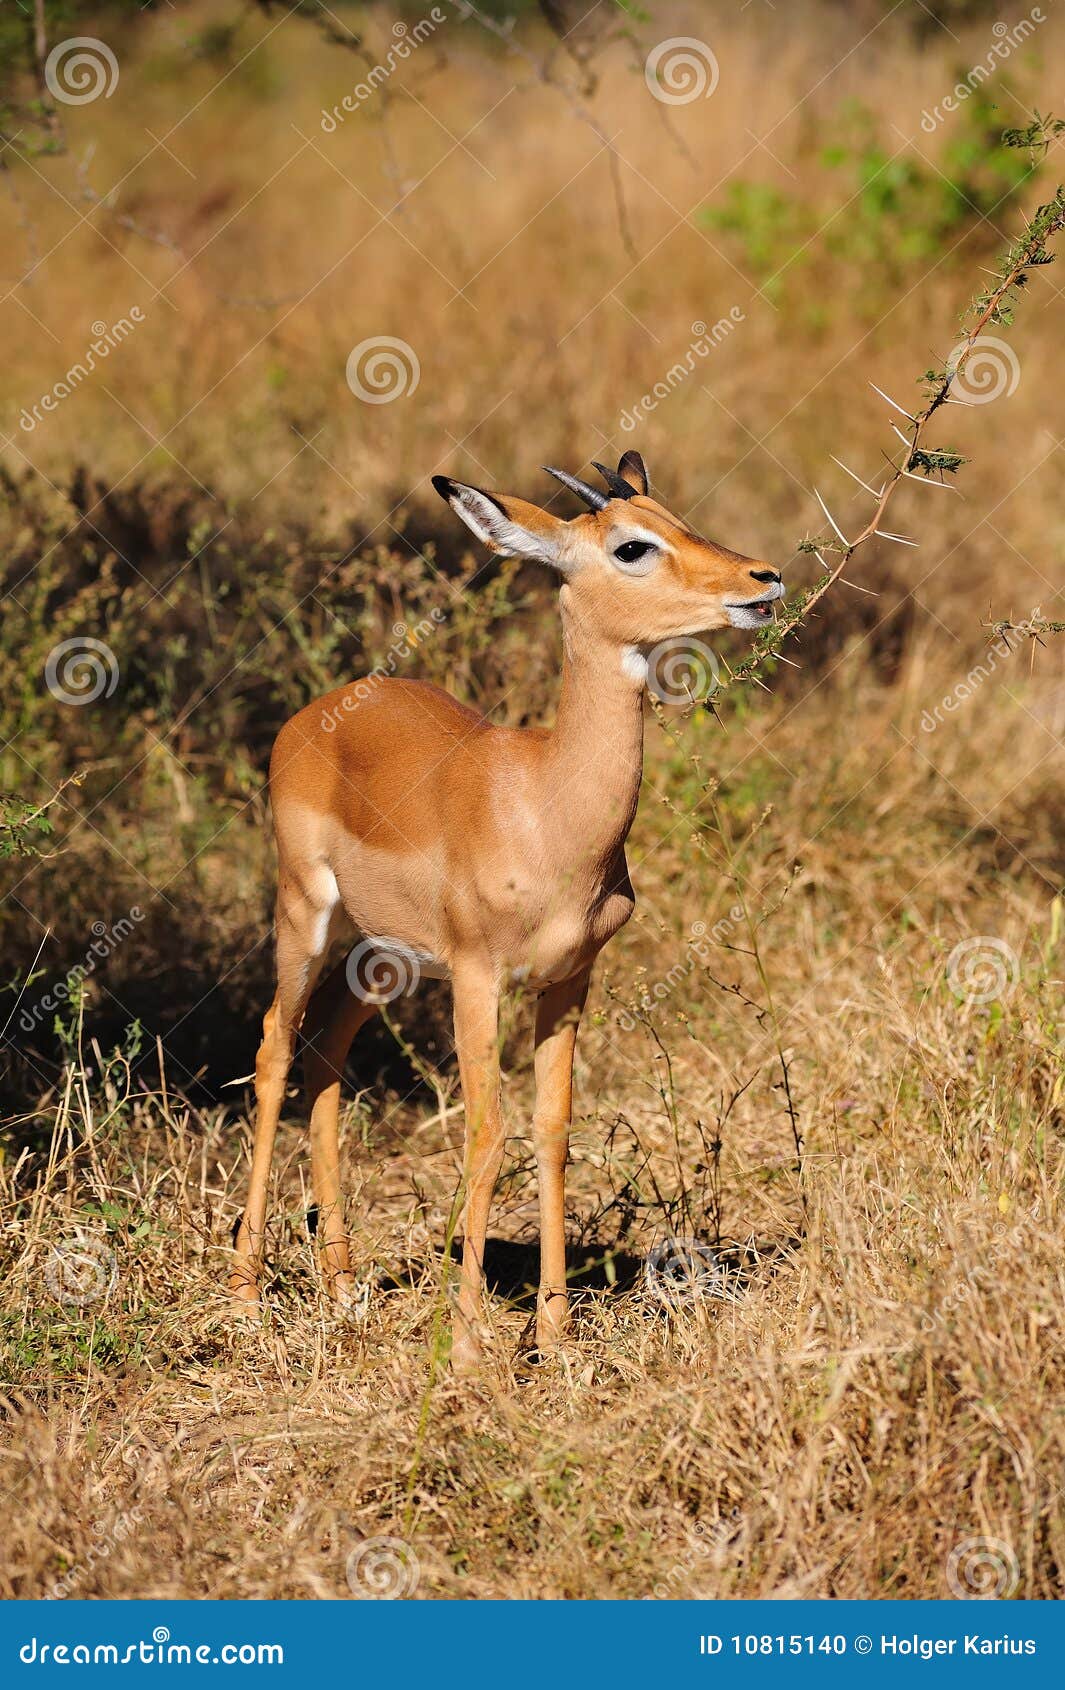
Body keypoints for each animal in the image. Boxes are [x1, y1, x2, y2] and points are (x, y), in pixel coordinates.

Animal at [230, 451, 783, 1370]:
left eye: (676, 517)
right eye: (631, 545)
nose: (762, 579)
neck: (543, 806)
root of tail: (319, 712)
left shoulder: (567, 980)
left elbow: (553, 1133)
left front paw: (552, 1333)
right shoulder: (478, 978)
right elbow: (486, 1137)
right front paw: (464, 1345)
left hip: (380, 958)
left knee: (326, 1052)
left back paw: (343, 1290)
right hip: (305, 913)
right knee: (276, 1043)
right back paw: (243, 1292)